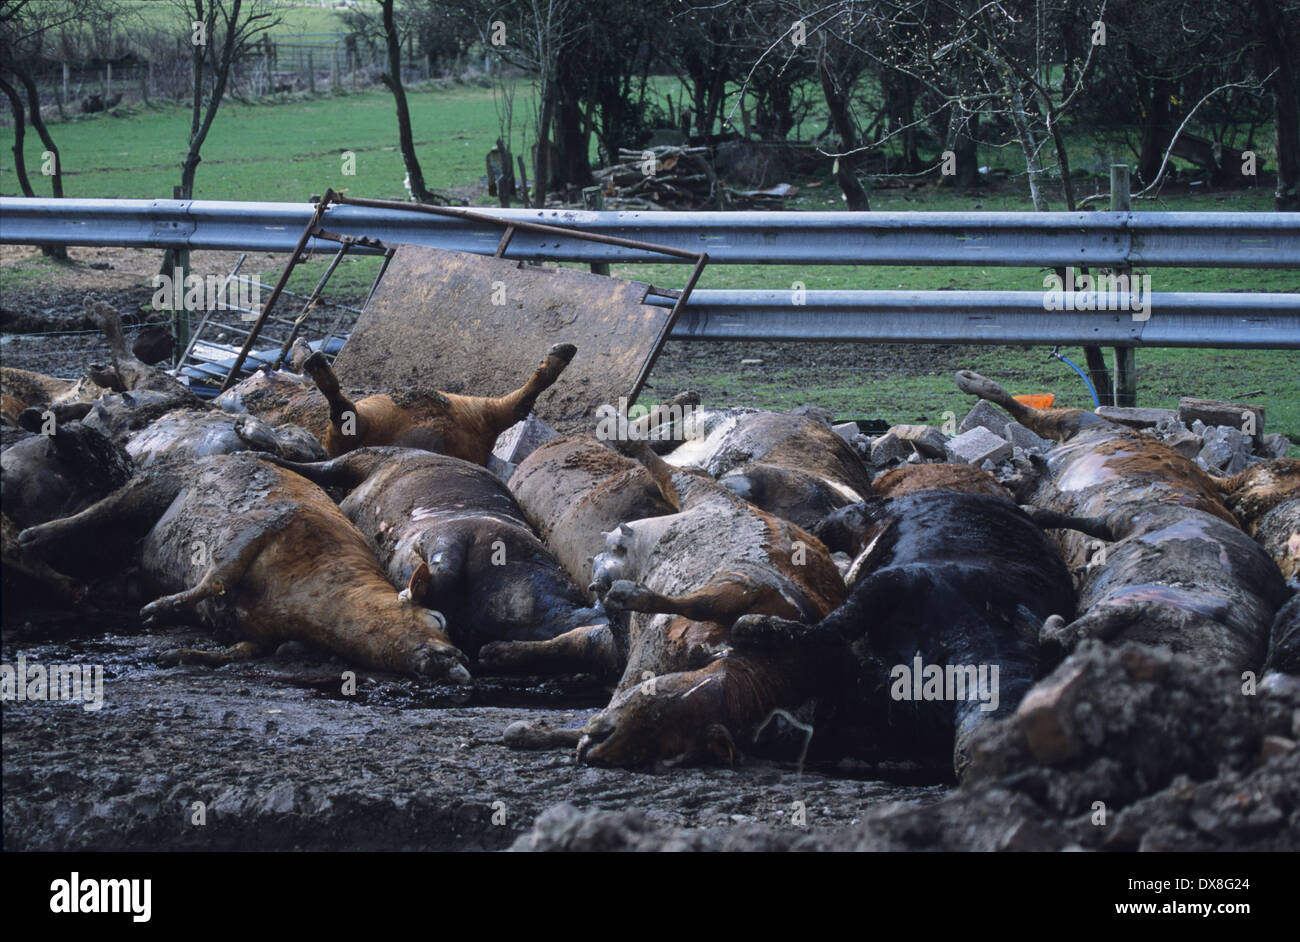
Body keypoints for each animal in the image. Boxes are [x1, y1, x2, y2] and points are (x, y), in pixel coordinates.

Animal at [17, 453, 469, 681]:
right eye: (439, 618)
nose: (461, 662)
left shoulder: (258, 633)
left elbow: (239, 652)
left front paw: (177, 654)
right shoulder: (265, 524)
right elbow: (218, 577)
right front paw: (155, 611)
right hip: (158, 482)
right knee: (101, 510)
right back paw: (30, 537)